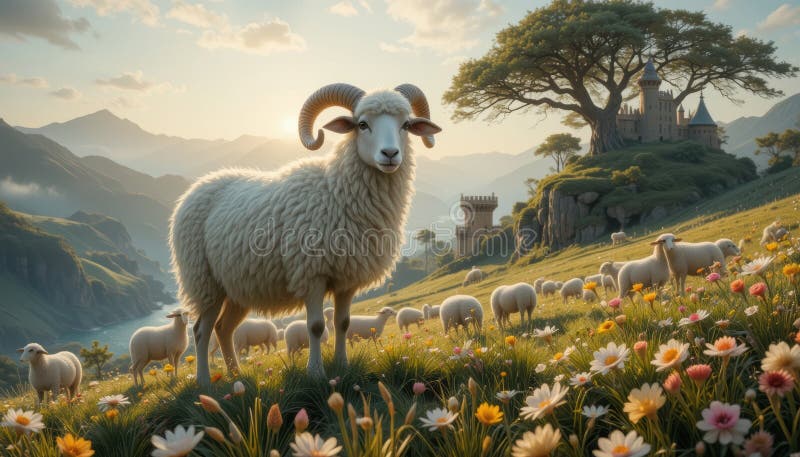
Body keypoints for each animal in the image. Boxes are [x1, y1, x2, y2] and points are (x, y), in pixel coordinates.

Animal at [169, 83, 441, 385]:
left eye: (405, 125)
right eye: (362, 124)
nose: (390, 154)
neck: (335, 191)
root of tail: (195, 189)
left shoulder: (347, 278)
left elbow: (342, 324)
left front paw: (343, 365)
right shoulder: (311, 273)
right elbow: (317, 326)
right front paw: (316, 374)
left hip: (237, 288)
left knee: (223, 329)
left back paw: (237, 375)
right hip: (204, 282)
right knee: (201, 331)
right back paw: (205, 382)